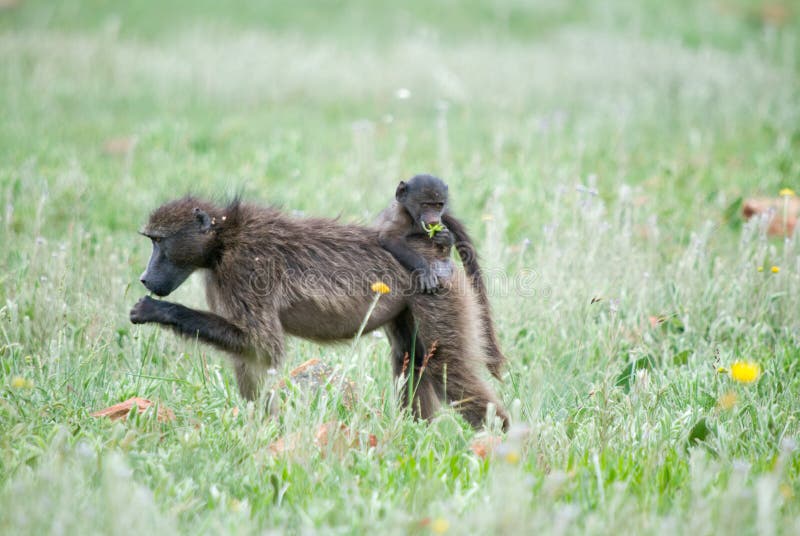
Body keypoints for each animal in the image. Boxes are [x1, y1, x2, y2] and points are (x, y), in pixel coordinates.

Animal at [129, 196, 508, 430]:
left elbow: (263, 347)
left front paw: (155, 309)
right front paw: (261, 432)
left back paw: (507, 441)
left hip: (437, 289)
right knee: (411, 357)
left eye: (159, 242)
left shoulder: (244, 272)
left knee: (445, 366)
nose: (145, 278)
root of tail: (427, 241)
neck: (224, 239)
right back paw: (411, 435)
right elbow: (250, 358)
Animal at [374, 174, 507, 379]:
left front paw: (446, 238)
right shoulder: (400, 217)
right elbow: (389, 238)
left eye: (438, 205)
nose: (434, 218)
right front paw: (425, 271)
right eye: (425, 204)